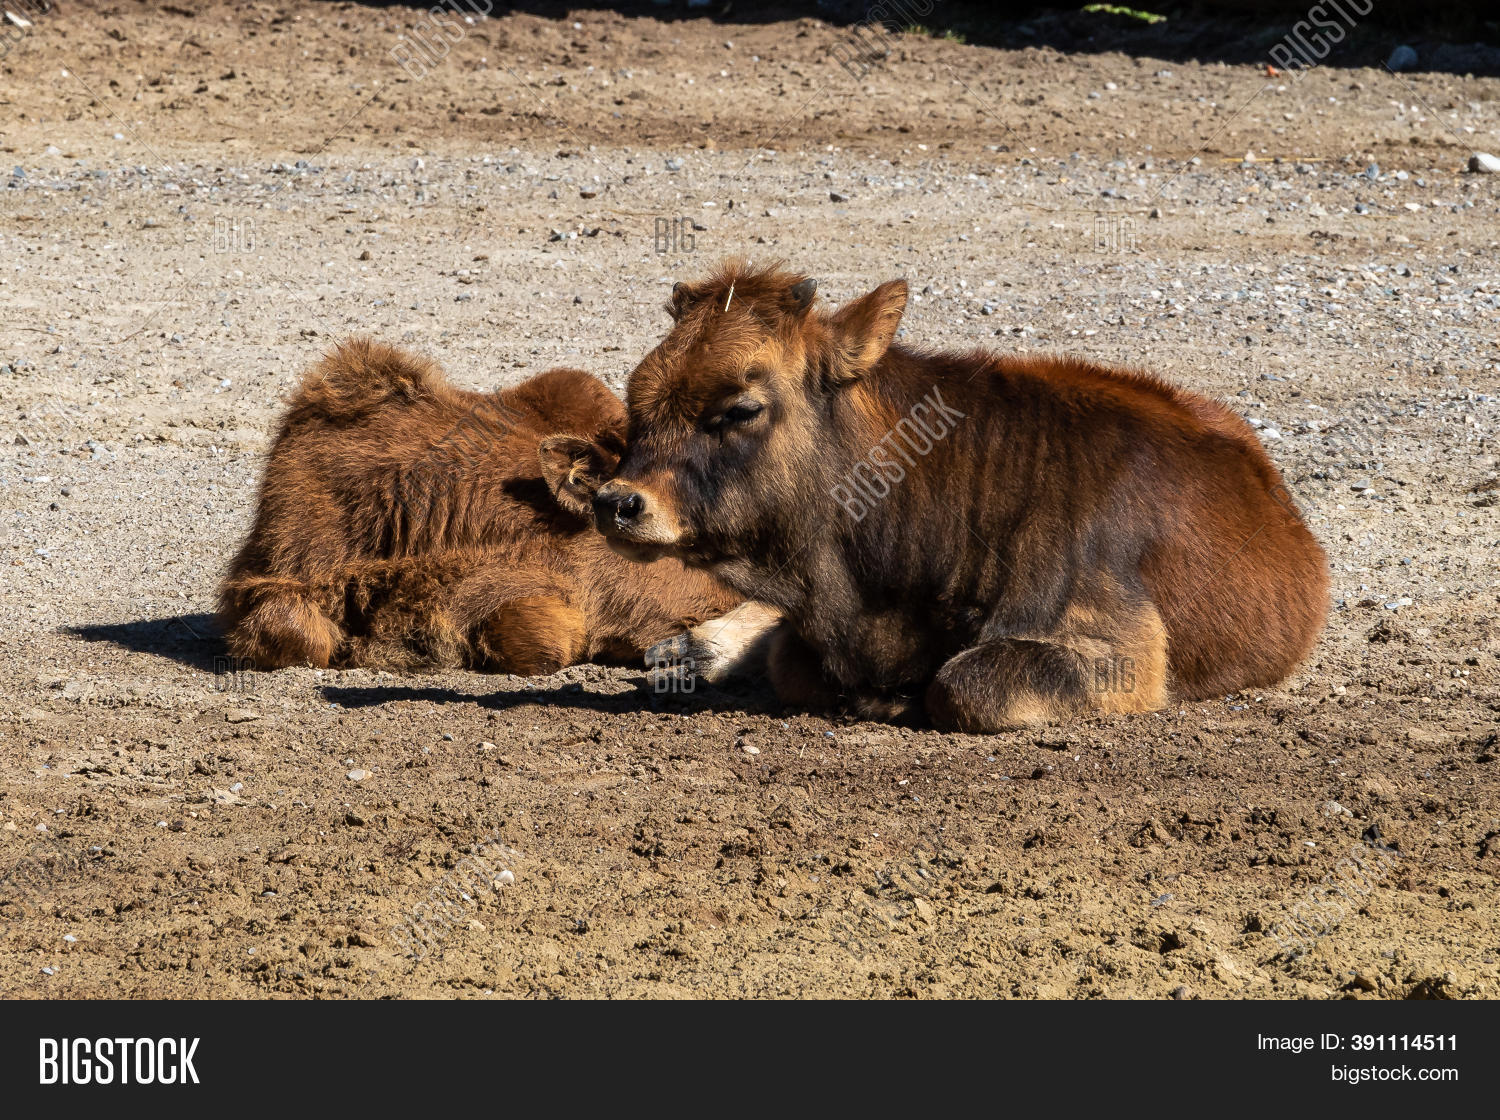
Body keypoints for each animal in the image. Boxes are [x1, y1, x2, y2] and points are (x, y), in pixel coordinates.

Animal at [592, 261, 1330, 732]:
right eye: (635, 396)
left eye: (741, 408)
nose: (617, 502)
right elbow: (791, 657)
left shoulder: (1124, 655)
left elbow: (963, 685)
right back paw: (685, 650)